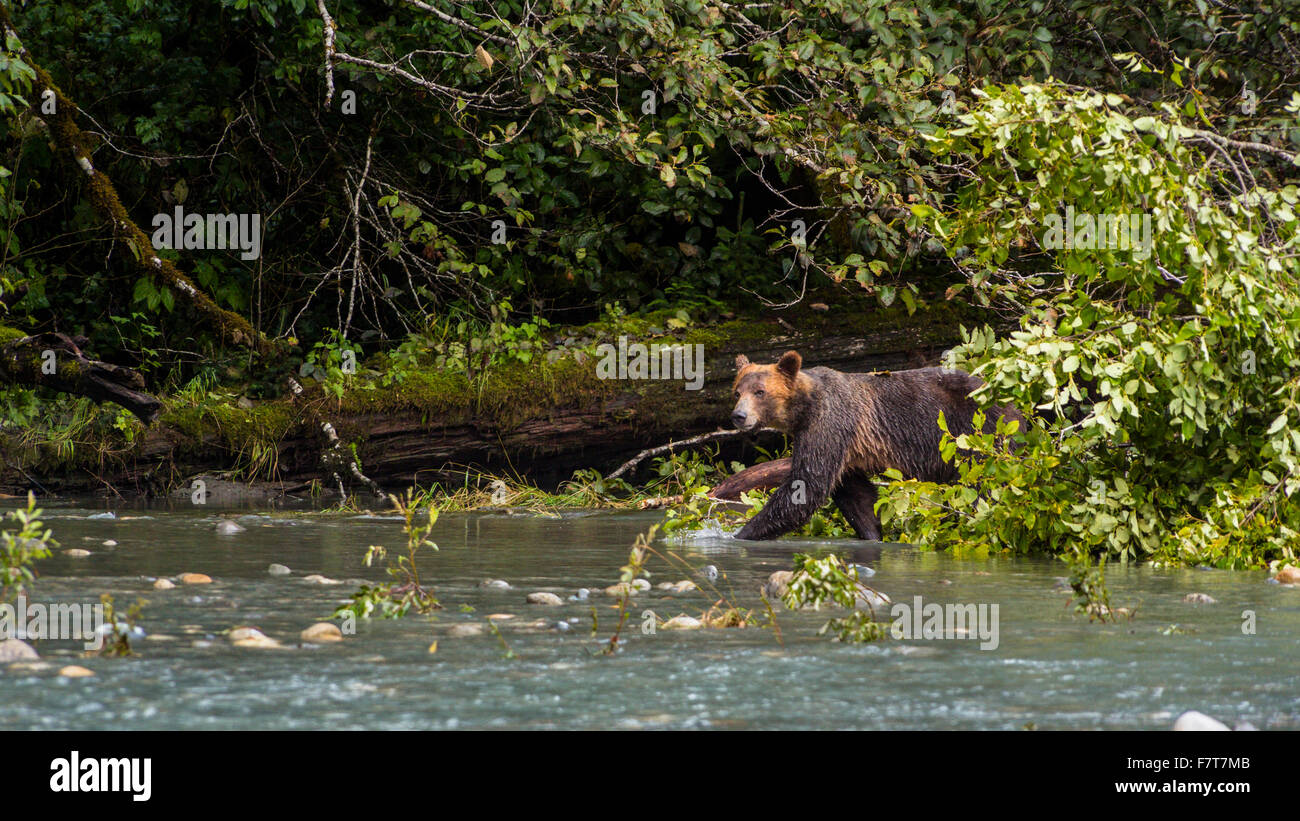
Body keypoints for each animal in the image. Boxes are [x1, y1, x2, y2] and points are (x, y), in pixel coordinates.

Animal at [729, 350, 1023, 541]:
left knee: (983, 487)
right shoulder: (845, 448)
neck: (805, 409)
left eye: (760, 391)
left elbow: (806, 486)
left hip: (978, 434)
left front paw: (742, 533)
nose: (739, 416)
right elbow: (856, 495)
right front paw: (872, 532)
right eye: (737, 391)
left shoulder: (829, 424)